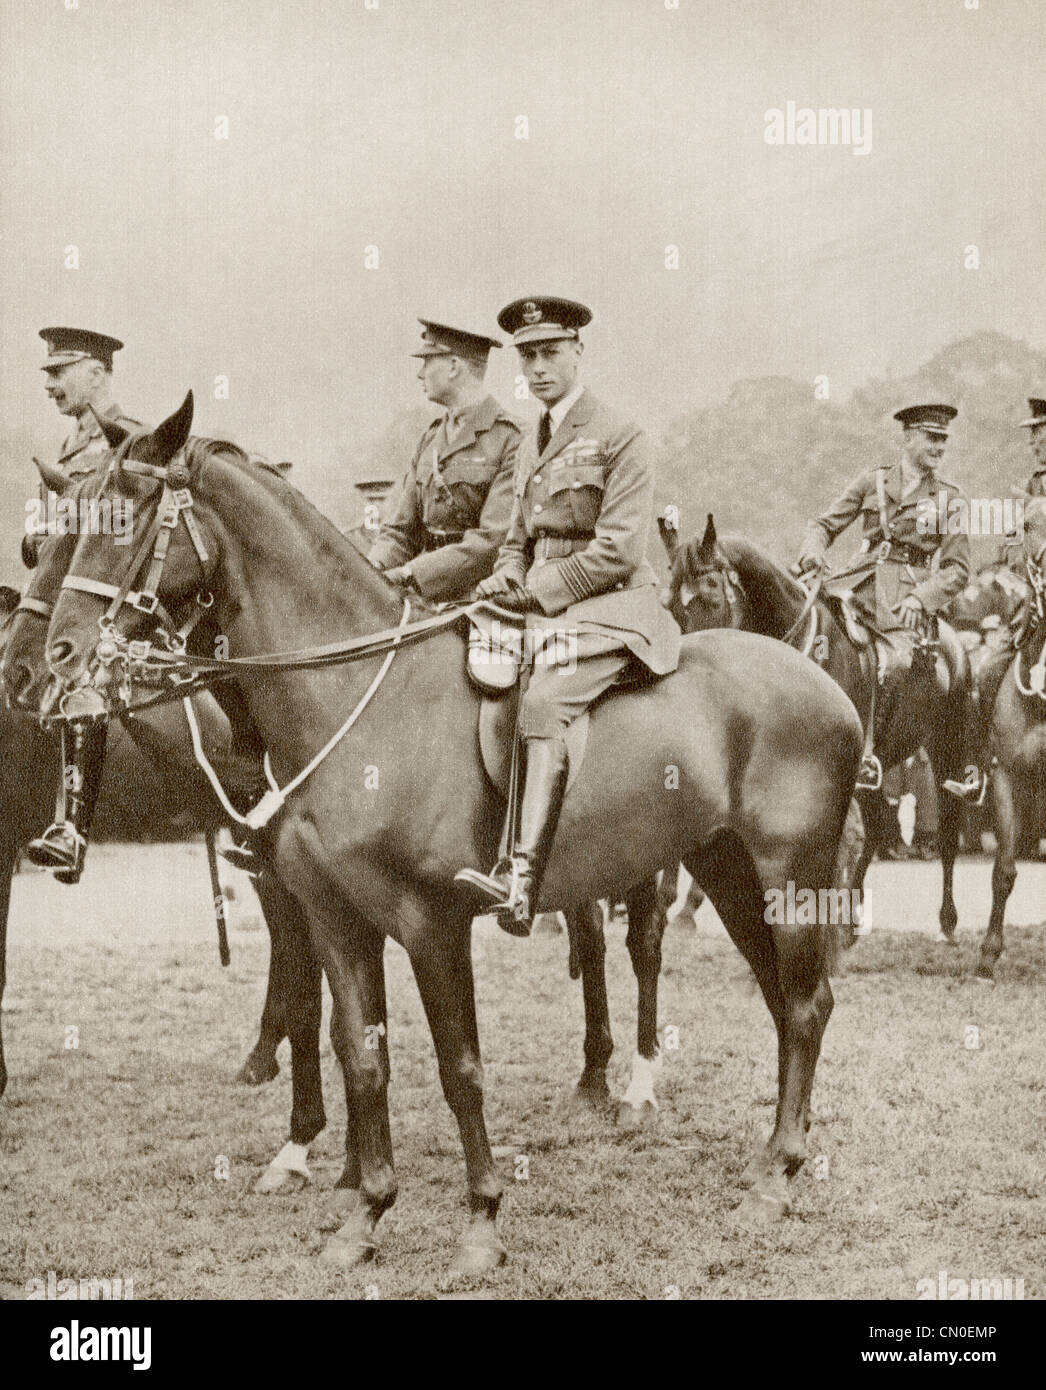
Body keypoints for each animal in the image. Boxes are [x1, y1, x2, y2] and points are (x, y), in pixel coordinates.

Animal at [40, 397, 861, 1273]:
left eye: (126, 517)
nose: (60, 652)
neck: (360, 700)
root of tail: (823, 683)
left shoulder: (432, 925)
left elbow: (458, 1067)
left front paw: (481, 1224)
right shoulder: (338, 920)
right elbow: (362, 1056)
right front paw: (363, 1216)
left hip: (790, 877)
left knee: (804, 1005)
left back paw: (773, 1179)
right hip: (727, 870)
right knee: (781, 1000)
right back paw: (777, 1156)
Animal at [661, 511, 977, 945]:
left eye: (710, 594)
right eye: (668, 603)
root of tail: (951, 640)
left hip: (948, 747)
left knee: (947, 832)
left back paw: (947, 919)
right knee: (876, 829)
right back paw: (849, 918)